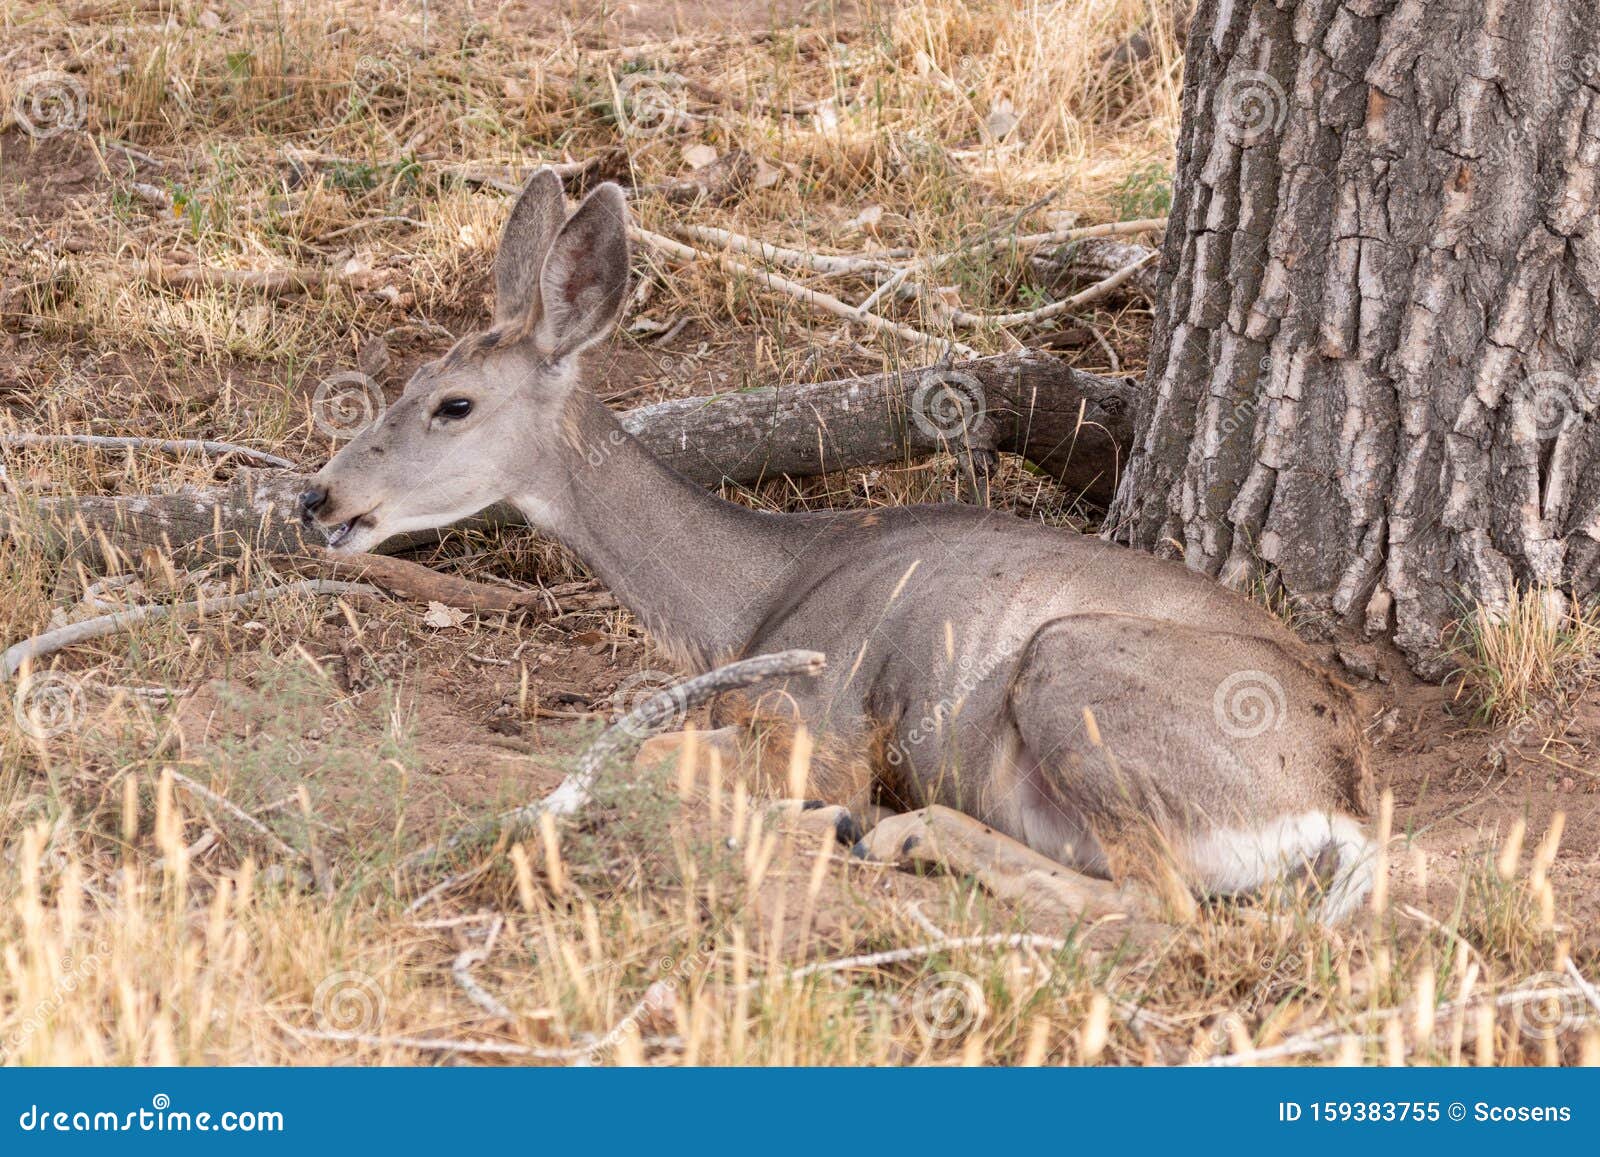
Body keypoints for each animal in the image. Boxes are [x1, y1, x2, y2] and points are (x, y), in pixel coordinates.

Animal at [299, 170, 1377, 924]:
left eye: (454, 403)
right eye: (409, 378)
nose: (319, 496)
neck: (747, 599)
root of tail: (1340, 804)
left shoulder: (820, 727)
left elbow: (654, 758)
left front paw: (834, 817)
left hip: (1073, 667)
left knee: (1159, 904)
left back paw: (889, 833)